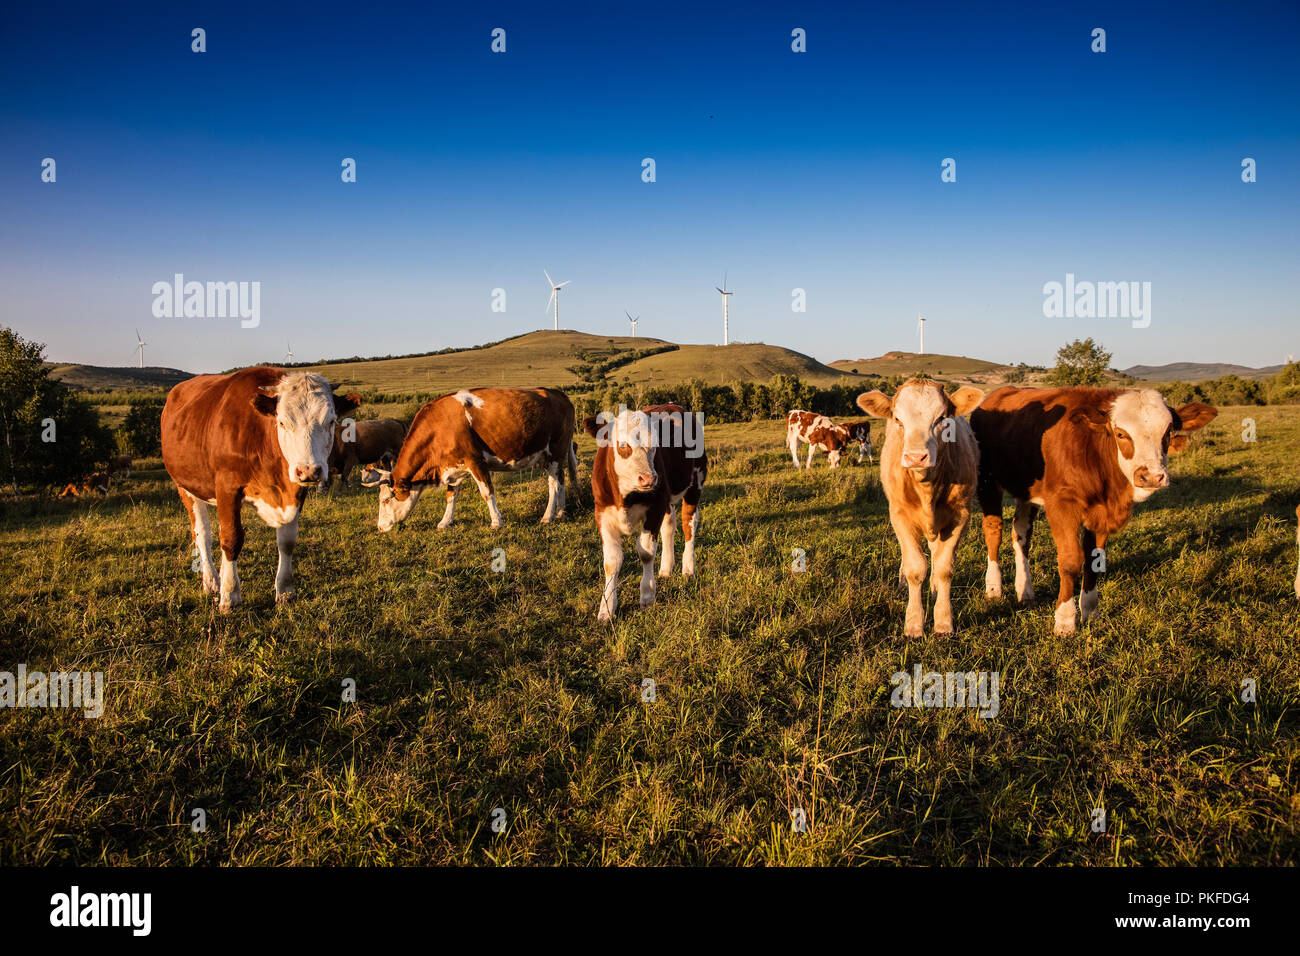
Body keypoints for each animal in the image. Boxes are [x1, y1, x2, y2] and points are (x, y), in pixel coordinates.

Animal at [161, 367, 360, 611]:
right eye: (282, 422)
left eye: (331, 422)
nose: (309, 470)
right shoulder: (227, 488)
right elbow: (231, 538)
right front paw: (230, 595)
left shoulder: (294, 491)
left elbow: (287, 541)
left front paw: (285, 590)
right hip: (186, 487)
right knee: (202, 534)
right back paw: (212, 582)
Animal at [367, 387, 577, 532]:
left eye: (385, 499)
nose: (380, 527)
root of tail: (557, 393)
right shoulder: (454, 466)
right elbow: (451, 495)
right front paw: (445, 522)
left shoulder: (476, 462)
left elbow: (487, 492)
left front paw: (496, 521)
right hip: (550, 455)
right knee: (561, 479)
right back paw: (561, 512)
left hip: (555, 450)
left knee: (553, 484)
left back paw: (548, 516)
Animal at [584, 403, 707, 621]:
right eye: (623, 445)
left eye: (655, 444)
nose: (649, 479)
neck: (624, 496)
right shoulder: (602, 513)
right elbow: (611, 561)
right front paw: (606, 608)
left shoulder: (655, 507)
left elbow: (646, 553)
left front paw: (647, 595)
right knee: (669, 525)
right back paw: (666, 568)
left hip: (696, 481)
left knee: (689, 524)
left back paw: (688, 567)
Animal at [856, 380, 984, 636]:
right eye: (898, 418)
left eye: (942, 418)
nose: (916, 457)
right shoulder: (899, 516)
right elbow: (915, 567)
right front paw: (914, 623)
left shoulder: (960, 515)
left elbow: (944, 567)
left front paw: (943, 621)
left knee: (935, 553)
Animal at [970, 386, 1217, 635]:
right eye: (1121, 434)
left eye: (1167, 433)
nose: (1151, 476)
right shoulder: (1061, 506)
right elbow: (1070, 561)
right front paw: (1065, 620)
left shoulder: (1101, 513)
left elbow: (1093, 560)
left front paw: (1090, 611)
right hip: (988, 483)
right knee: (993, 532)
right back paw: (994, 587)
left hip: (1025, 491)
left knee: (1021, 535)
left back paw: (1025, 589)